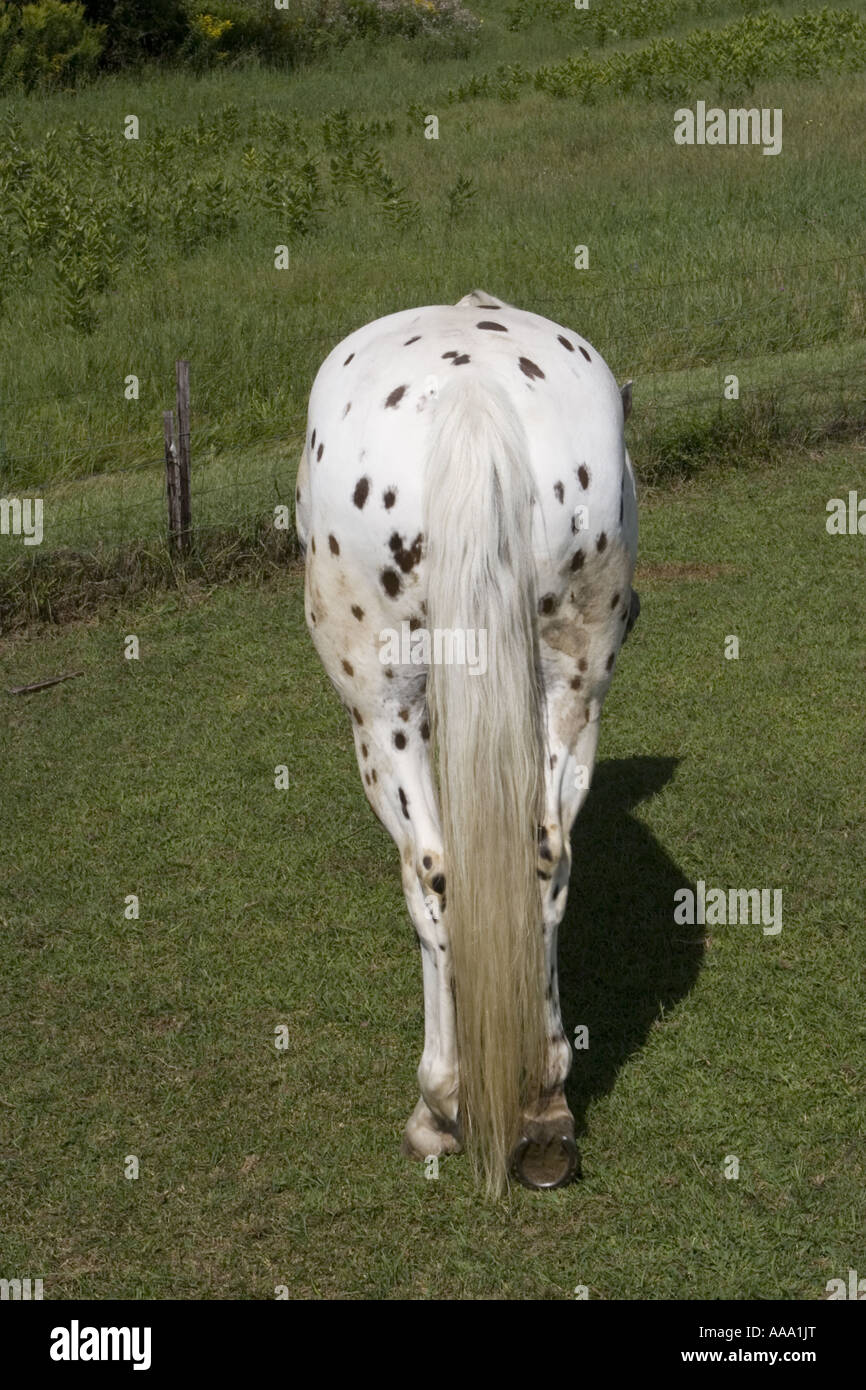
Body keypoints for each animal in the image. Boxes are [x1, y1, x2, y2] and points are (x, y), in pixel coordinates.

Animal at [295, 290, 639, 1195]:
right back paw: (545, 1111)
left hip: (381, 713)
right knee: (546, 854)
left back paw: (441, 1101)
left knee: (433, 873)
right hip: (574, 684)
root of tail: (474, 393)